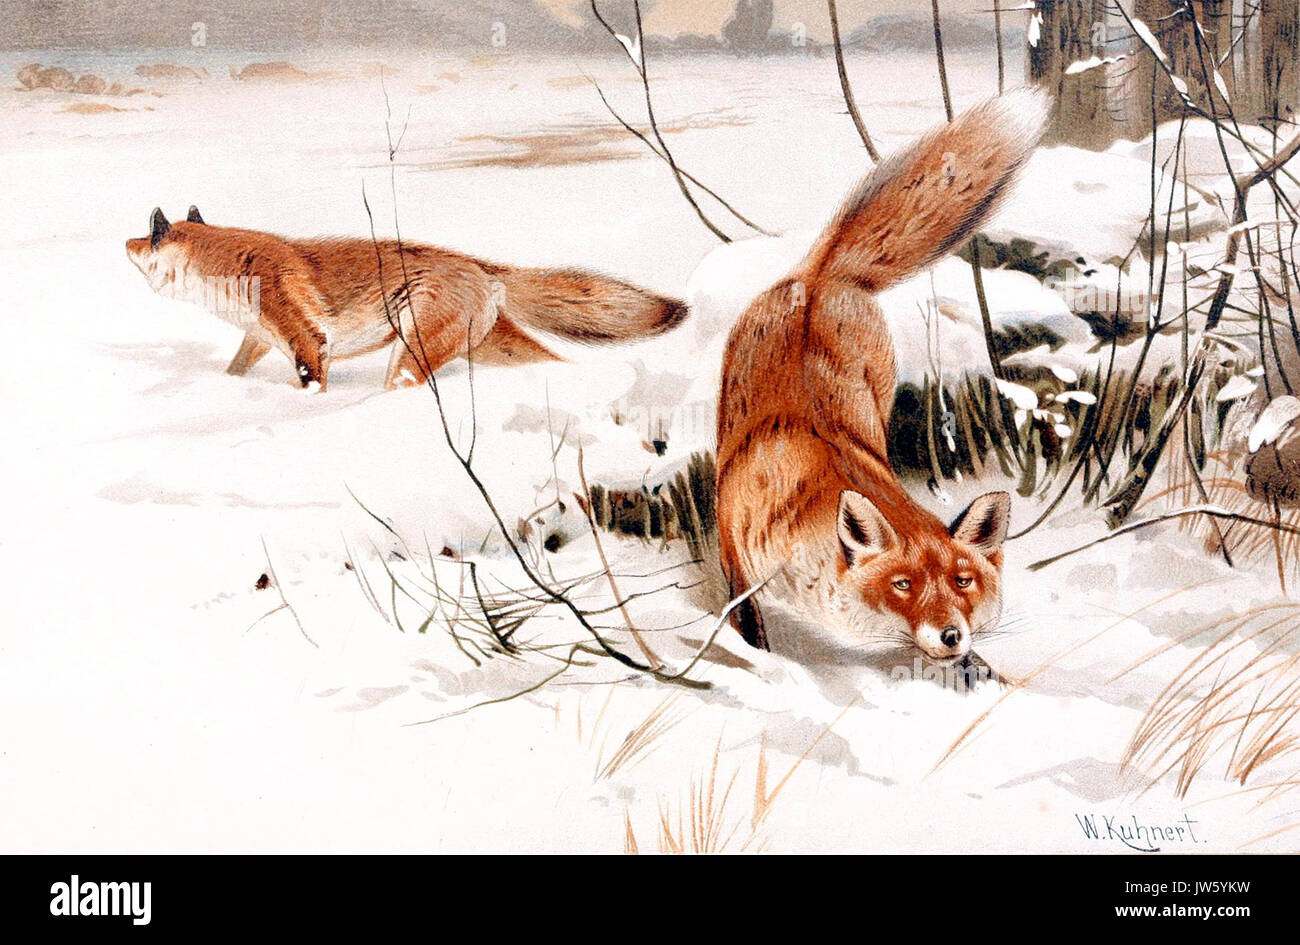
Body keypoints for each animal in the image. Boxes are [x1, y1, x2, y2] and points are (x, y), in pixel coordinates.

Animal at [125, 207, 687, 390]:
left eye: (148, 236)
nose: (123, 242)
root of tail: (479, 265)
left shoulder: (307, 341)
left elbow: (310, 383)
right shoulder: (259, 338)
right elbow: (234, 370)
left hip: (410, 354)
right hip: (491, 348)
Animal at [716, 89, 1049, 663]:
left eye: (963, 582)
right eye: (903, 585)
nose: (952, 635)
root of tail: (818, 277)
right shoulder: (734, 546)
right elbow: (747, 620)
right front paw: (757, 658)